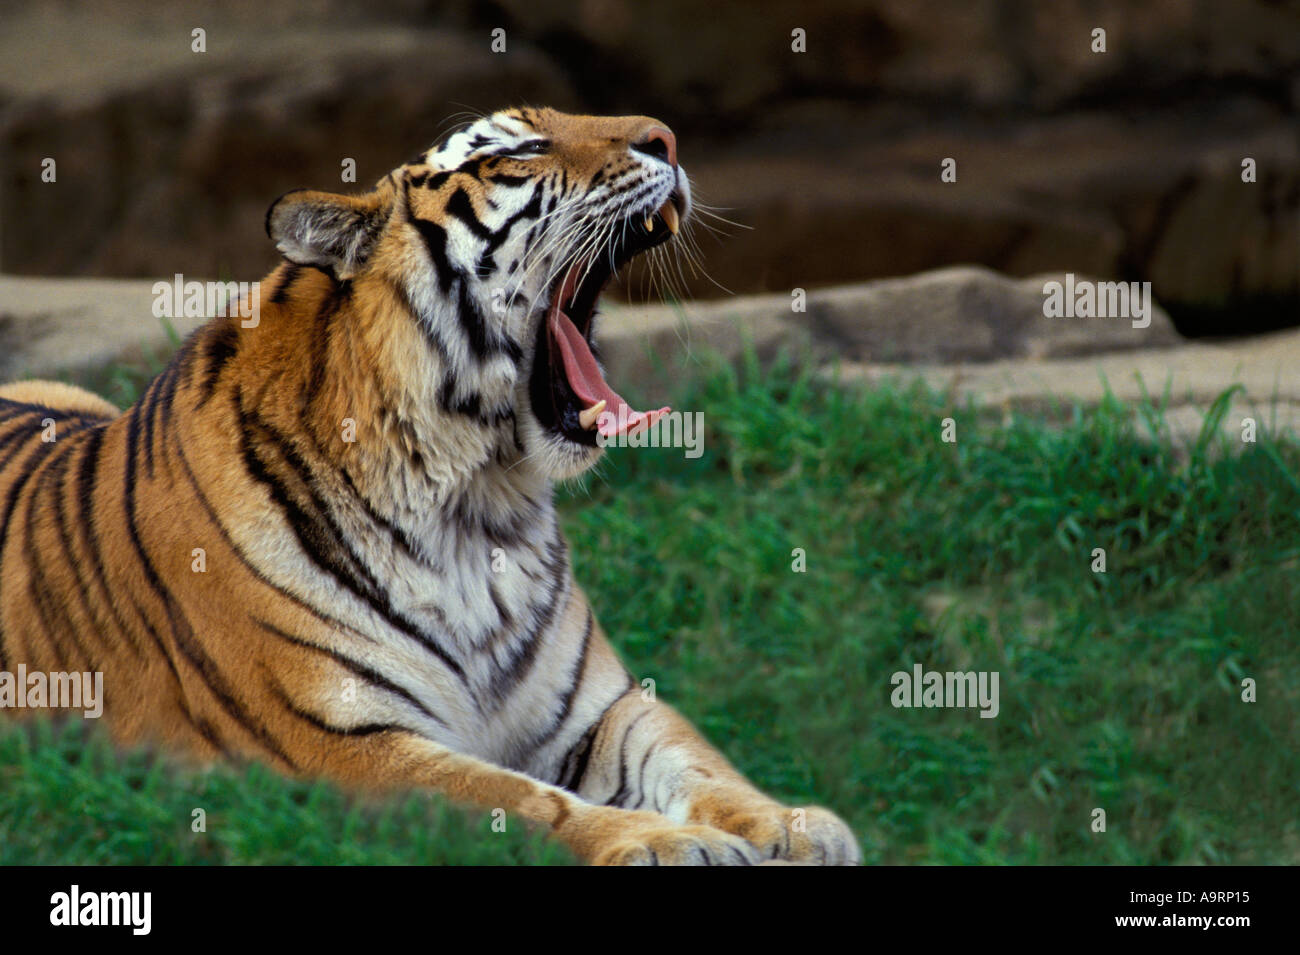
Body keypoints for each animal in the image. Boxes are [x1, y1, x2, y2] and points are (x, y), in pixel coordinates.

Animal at [0, 107, 859, 865]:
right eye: (520, 152)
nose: (669, 139)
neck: (480, 505)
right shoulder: (342, 744)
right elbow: (521, 801)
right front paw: (663, 841)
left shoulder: (598, 710)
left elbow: (698, 761)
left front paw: (796, 823)